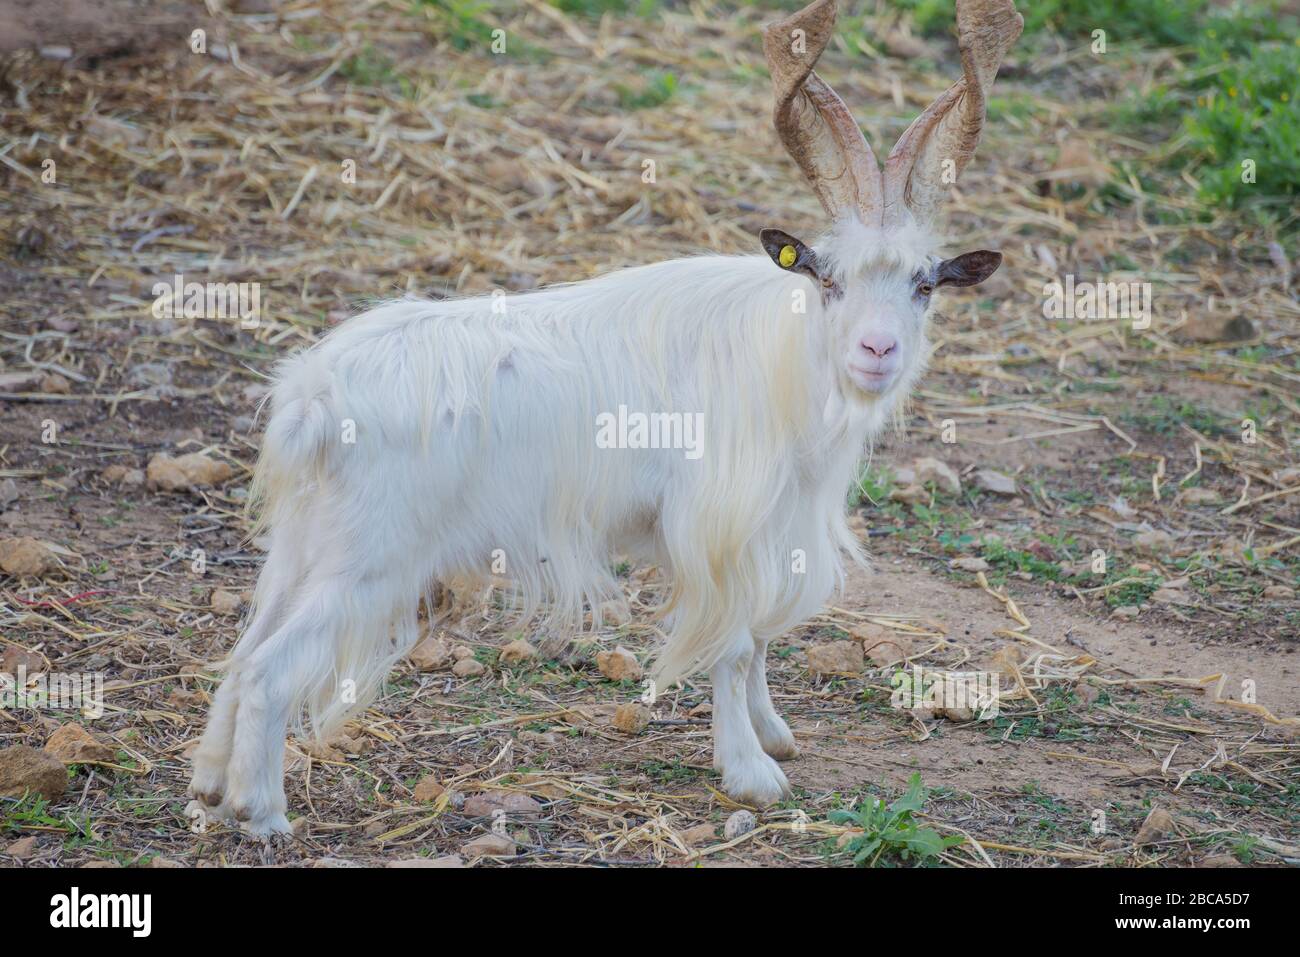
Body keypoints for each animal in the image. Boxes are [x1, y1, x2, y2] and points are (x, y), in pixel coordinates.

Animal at [188, 0, 1022, 835]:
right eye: (828, 279)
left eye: (924, 285)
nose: (877, 350)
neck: (783, 356)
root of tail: (312, 397)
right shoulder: (716, 528)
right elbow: (730, 644)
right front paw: (751, 773)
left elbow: (756, 640)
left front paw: (774, 732)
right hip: (371, 556)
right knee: (269, 667)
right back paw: (262, 811)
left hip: (307, 541)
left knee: (244, 646)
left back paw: (209, 785)